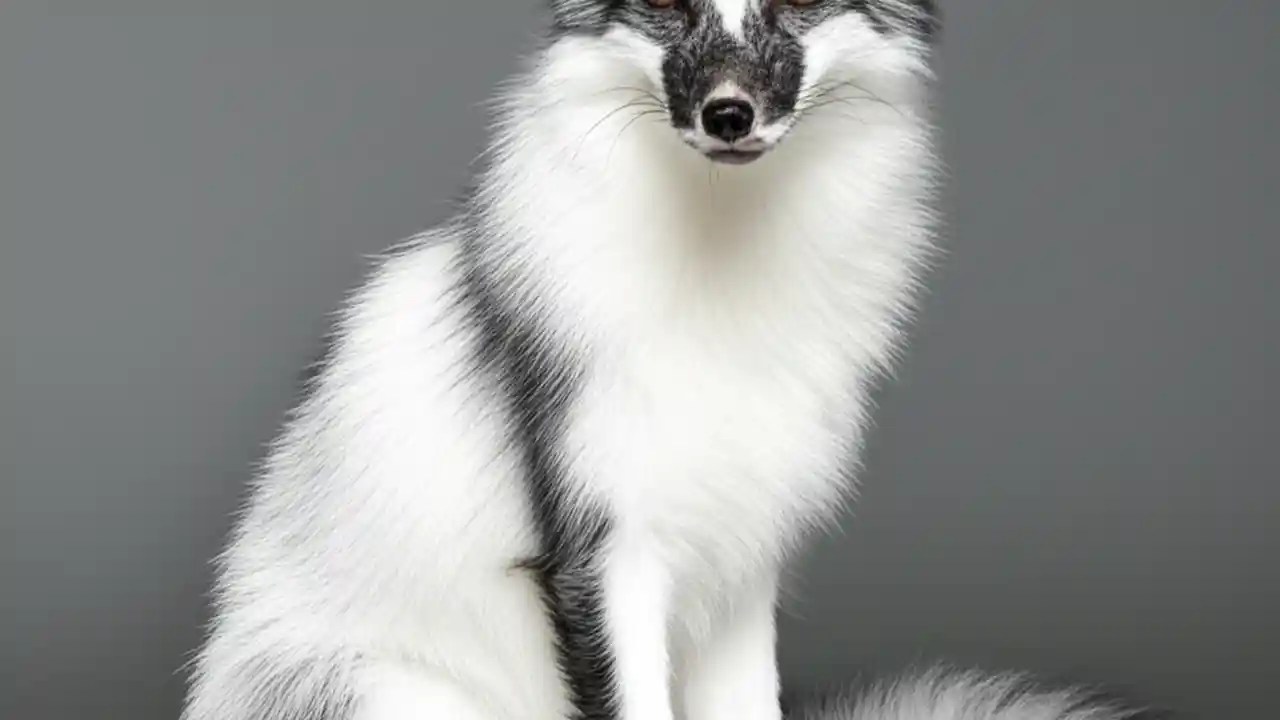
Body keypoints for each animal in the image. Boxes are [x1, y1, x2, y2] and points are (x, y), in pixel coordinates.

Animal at [182, 2, 1155, 719]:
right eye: (664, 5)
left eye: (797, 2)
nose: (728, 113)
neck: (720, 272)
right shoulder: (601, 554)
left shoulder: (745, 558)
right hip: (390, 694)